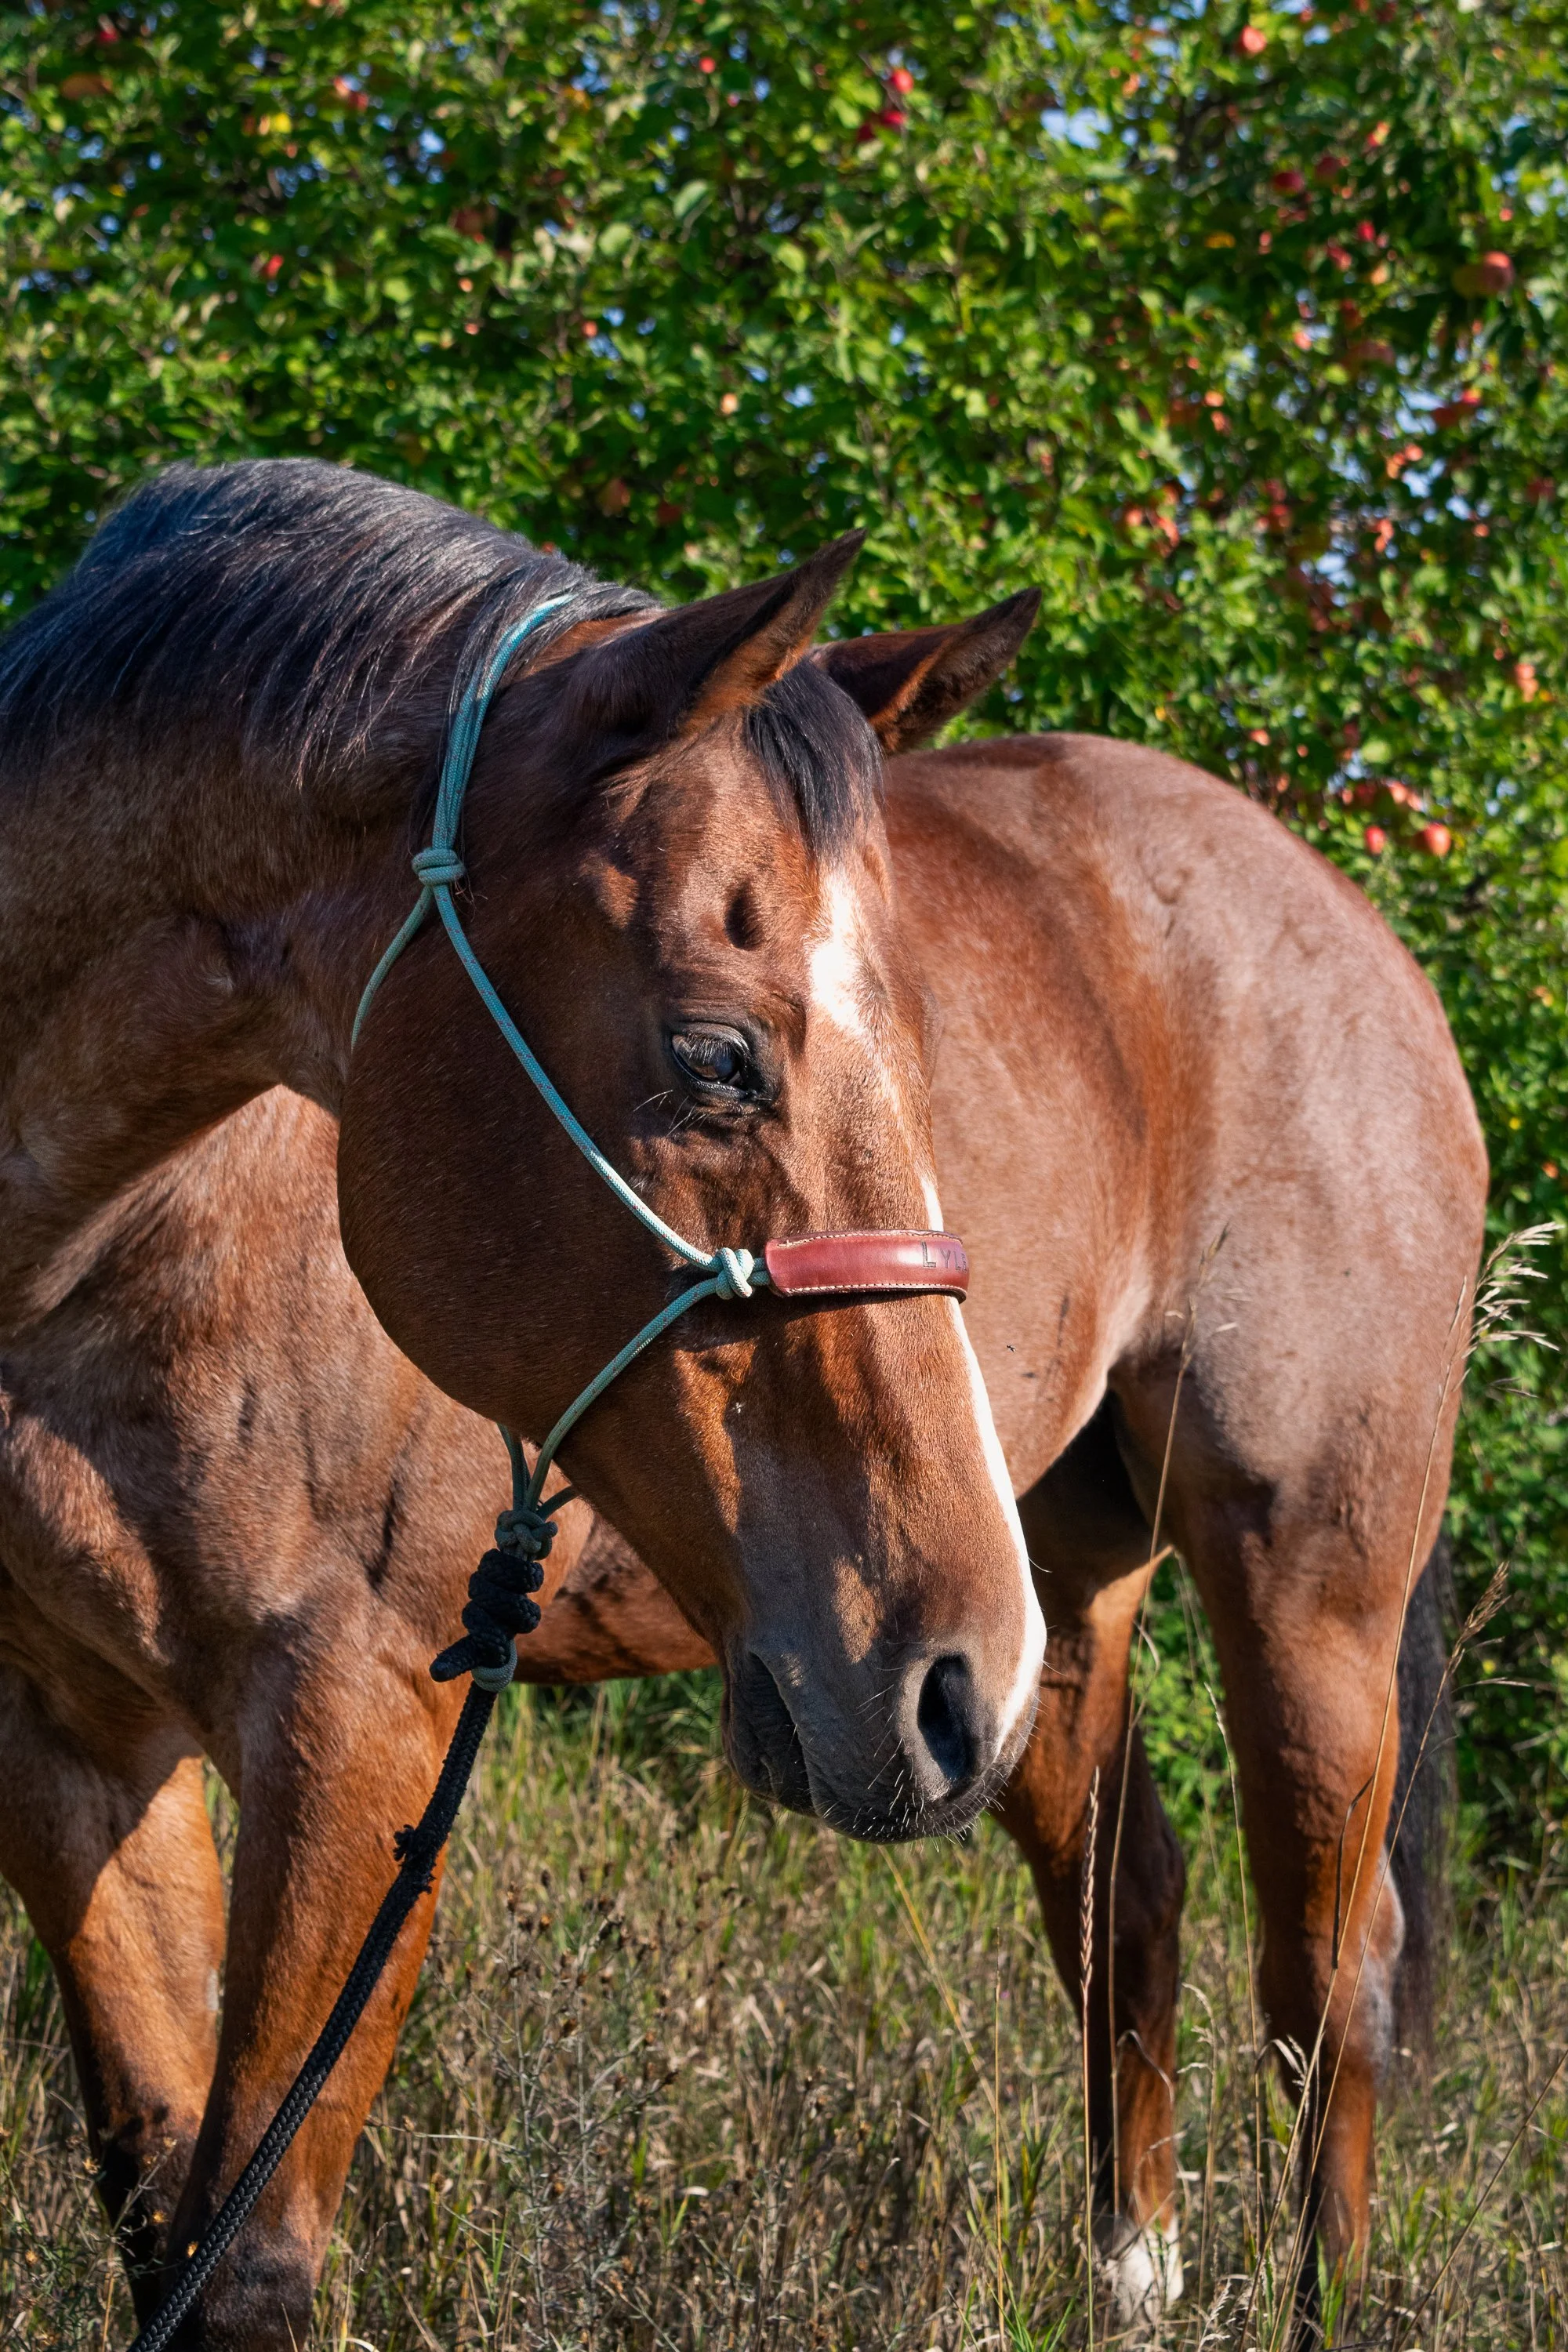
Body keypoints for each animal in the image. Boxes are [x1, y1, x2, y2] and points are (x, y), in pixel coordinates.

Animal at [0, 462, 1484, 2345]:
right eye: (717, 1054)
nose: (927, 1670)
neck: (123, 1243)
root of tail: (1357, 931)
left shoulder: (349, 1717)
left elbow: (245, 2258)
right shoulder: (69, 1741)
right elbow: (156, 2202)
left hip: (1288, 1589)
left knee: (1324, 1986)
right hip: (1054, 1596)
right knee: (1126, 1906)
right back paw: (1129, 2280)